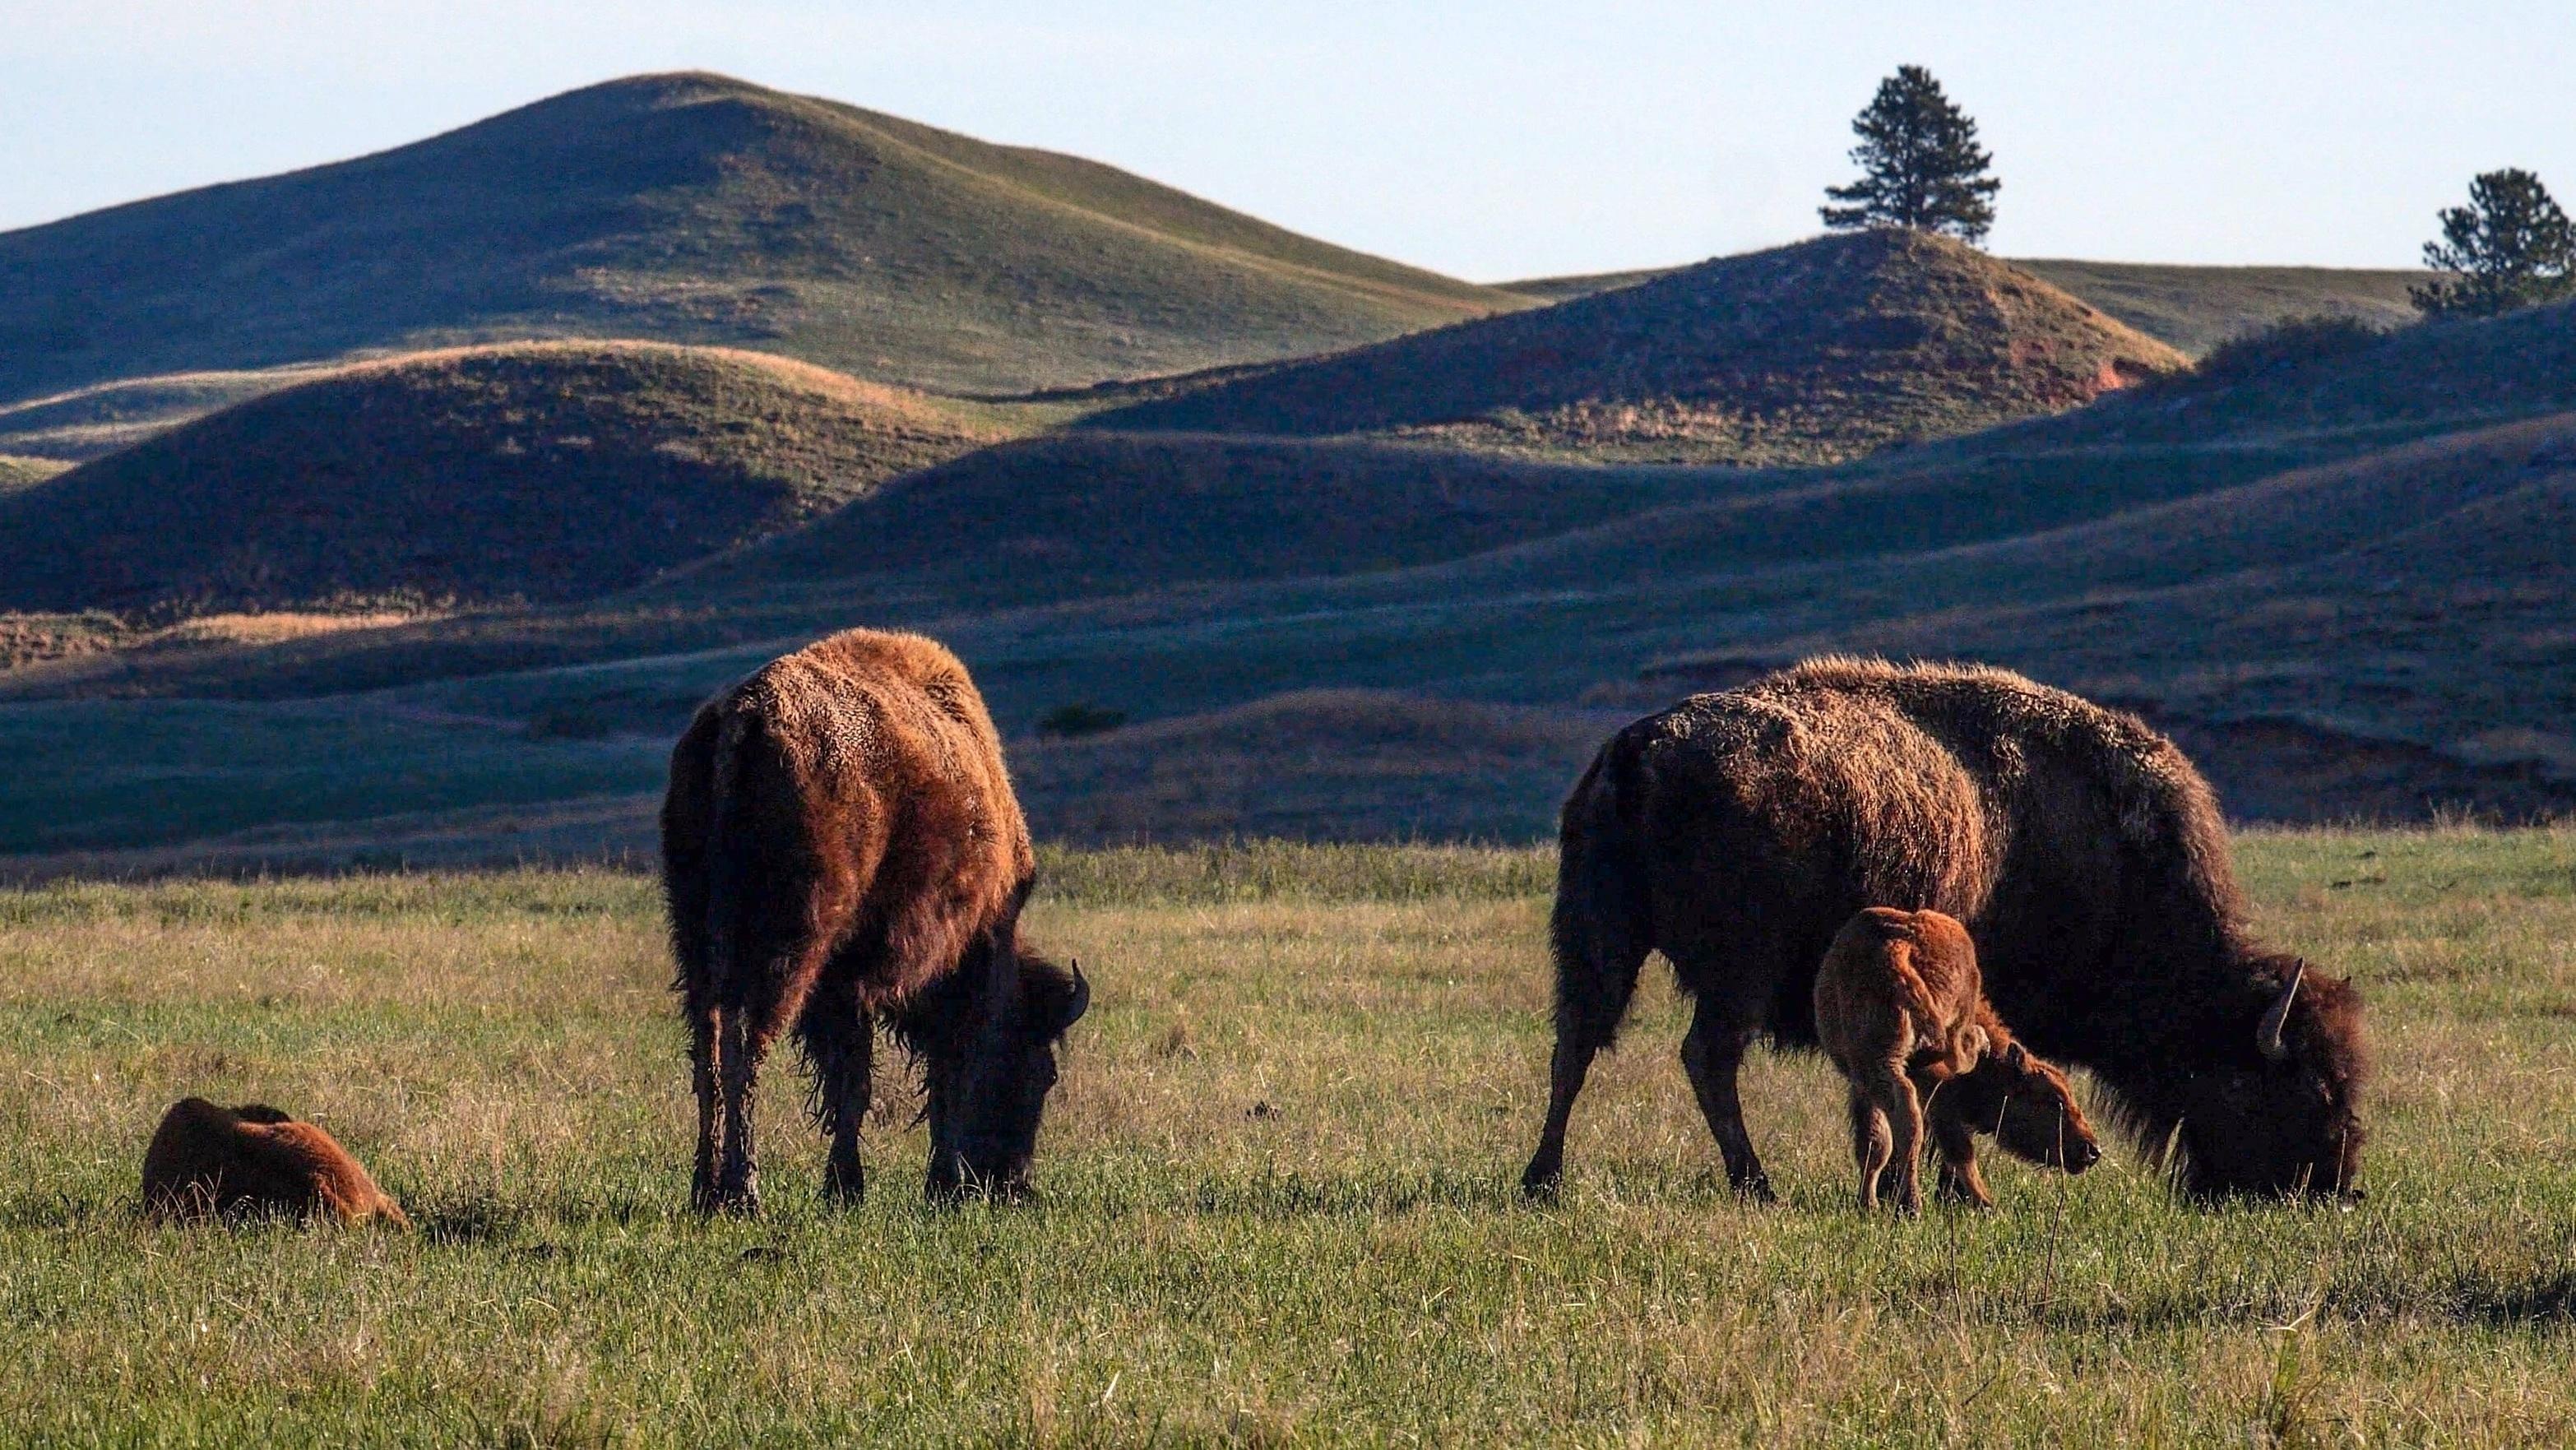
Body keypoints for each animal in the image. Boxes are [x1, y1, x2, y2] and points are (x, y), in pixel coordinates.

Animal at [663, 629, 1089, 1211]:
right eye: (1041, 1074)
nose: (1014, 1184)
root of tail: (741, 719)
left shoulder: (848, 984)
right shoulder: (911, 974)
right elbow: (906, 1078)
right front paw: (867, 1185)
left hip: (697, 940)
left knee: (706, 1047)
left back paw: (705, 1188)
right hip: (792, 944)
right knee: (746, 1044)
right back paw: (744, 1190)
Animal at [1522, 657, 2366, 1203]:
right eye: (2303, 1086)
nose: (2337, 1186)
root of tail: (1636, 753)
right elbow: (1953, 1097)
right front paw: (1961, 1190)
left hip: (1600, 940)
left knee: (1575, 1048)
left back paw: (1544, 1179)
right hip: (1735, 971)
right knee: (1705, 1058)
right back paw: (1754, 1182)